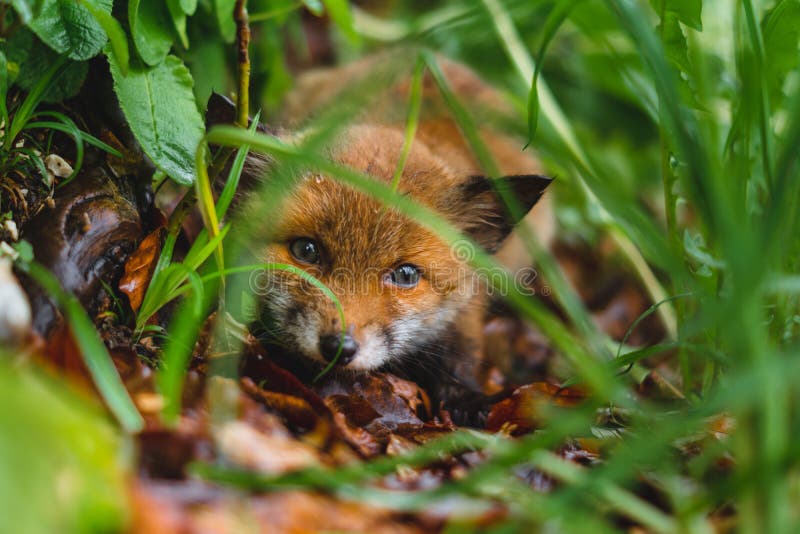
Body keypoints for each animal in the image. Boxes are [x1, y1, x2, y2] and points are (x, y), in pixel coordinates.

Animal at [222, 54, 554, 423]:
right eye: (306, 250)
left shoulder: (467, 305)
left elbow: (460, 352)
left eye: (406, 275)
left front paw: (466, 399)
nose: (339, 347)